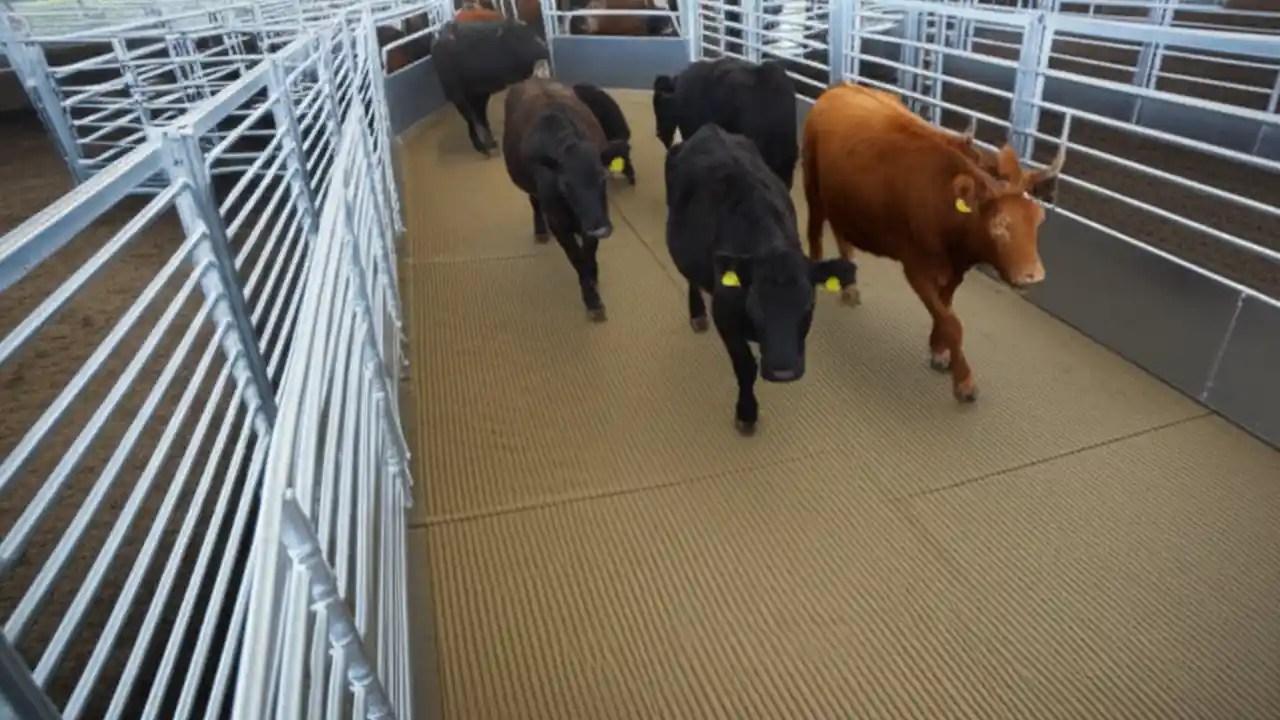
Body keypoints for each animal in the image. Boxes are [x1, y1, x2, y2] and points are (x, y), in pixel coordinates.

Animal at [432, 18, 550, 156]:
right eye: (520, 36)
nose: (544, 49)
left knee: (478, 116)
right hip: (457, 95)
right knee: (471, 118)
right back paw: (483, 145)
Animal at [503, 79, 629, 321]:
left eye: (603, 177)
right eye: (565, 185)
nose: (601, 229)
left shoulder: (595, 219)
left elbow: (588, 253)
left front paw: (593, 277)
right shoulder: (559, 222)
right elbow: (576, 257)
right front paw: (592, 301)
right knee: (534, 203)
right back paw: (540, 232)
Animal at [666, 124, 856, 436]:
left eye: (809, 306)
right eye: (754, 307)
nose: (783, 371)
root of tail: (710, 129)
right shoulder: (725, 316)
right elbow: (746, 366)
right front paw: (746, 413)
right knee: (691, 279)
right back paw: (697, 314)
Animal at [801, 83, 1065, 403]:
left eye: (1038, 219)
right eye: (999, 224)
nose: (1034, 275)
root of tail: (840, 87)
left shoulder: (954, 271)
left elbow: (946, 311)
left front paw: (939, 350)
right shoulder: (916, 268)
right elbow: (953, 323)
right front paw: (963, 380)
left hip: (843, 198)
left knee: (841, 232)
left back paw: (850, 285)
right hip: (812, 184)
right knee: (815, 230)